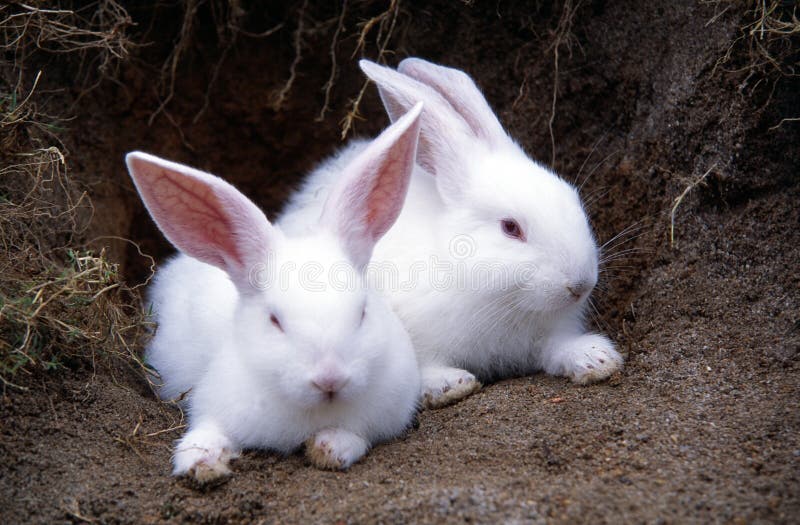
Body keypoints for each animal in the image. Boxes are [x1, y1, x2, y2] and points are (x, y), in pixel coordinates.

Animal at [125, 102, 424, 483]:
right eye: (274, 320)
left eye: (362, 312)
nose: (329, 379)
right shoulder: (213, 405)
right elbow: (207, 430)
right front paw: (199, 464)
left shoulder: (379, 418)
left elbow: (351, 437)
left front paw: (327, 449)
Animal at [280, 59, 622, 409]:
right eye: (510, 228)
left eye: (573, 198)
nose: (581, 285)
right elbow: (421, 367)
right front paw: (450, 384)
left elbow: (556, 348)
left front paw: (596, 359)